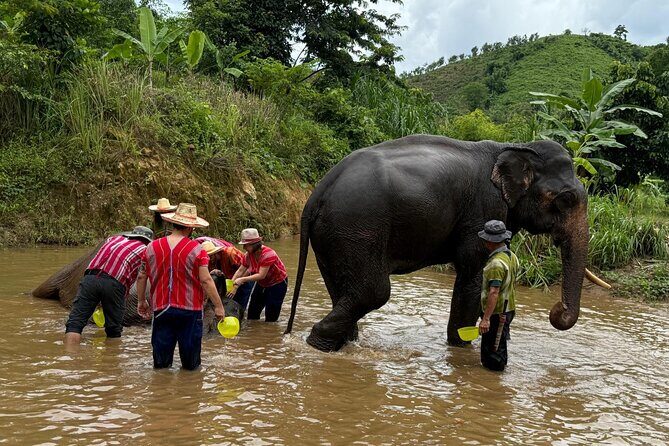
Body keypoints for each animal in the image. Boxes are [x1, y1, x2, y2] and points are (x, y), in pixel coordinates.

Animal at [285, 134, 601, 352]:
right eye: (566, 199)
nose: (556, 310)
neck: (515, 146)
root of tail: (316, 194)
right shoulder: (483, 210)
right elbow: (473, 276)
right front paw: (461, 347)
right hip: (357, 227)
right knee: (373, 292)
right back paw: (317, 344)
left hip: (334, 235)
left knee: (343, 288)